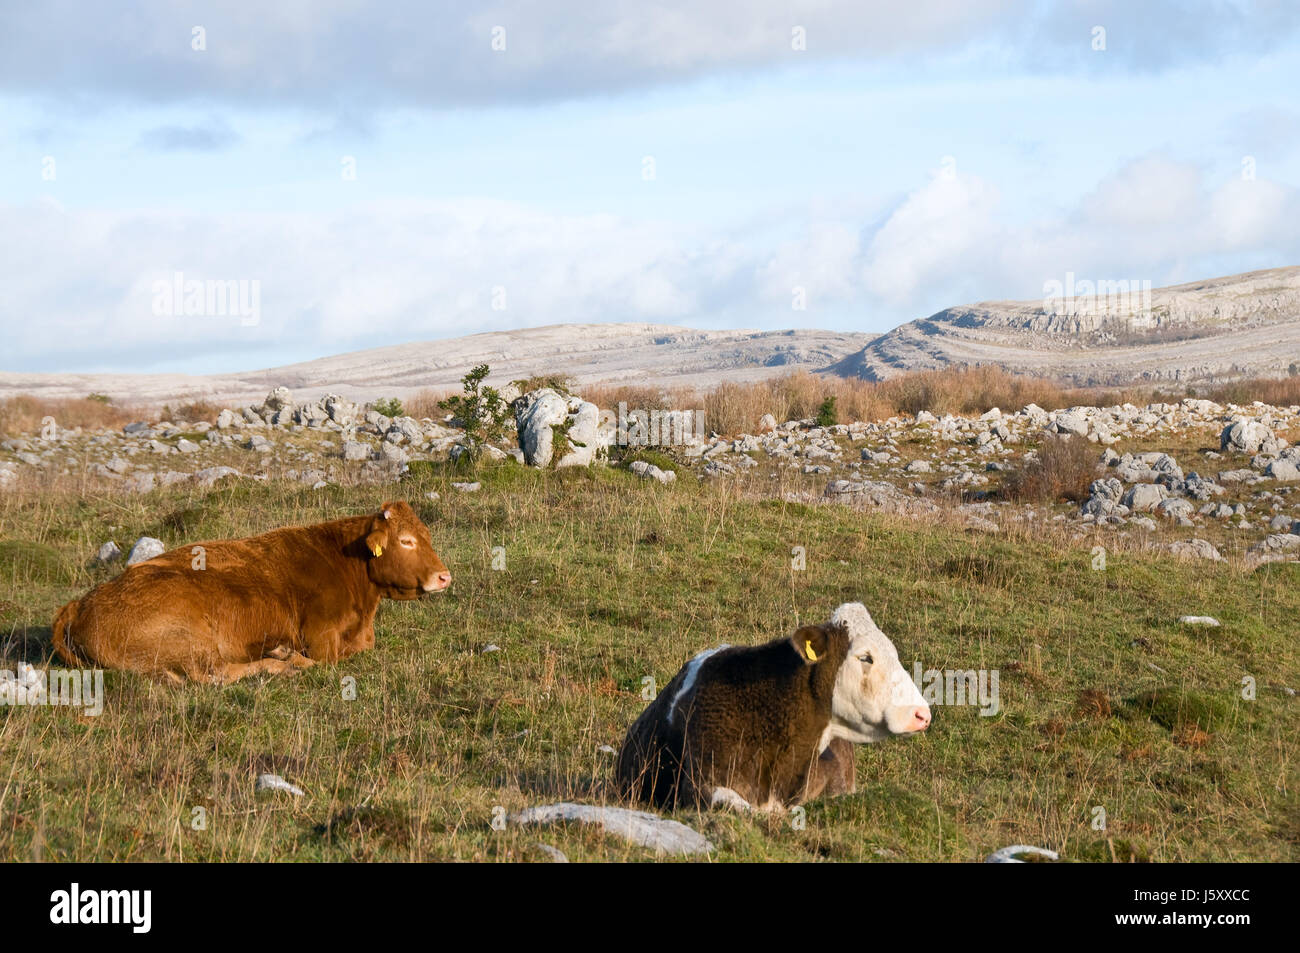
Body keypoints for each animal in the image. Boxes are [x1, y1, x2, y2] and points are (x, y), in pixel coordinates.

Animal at [52, 501, 450, 684]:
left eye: (428, 536)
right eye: (406, 540)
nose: (444, 577)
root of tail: (79, 604)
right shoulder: (320, 636)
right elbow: (334, 658)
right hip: (190, 639)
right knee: (213, 675)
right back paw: (283, 660)